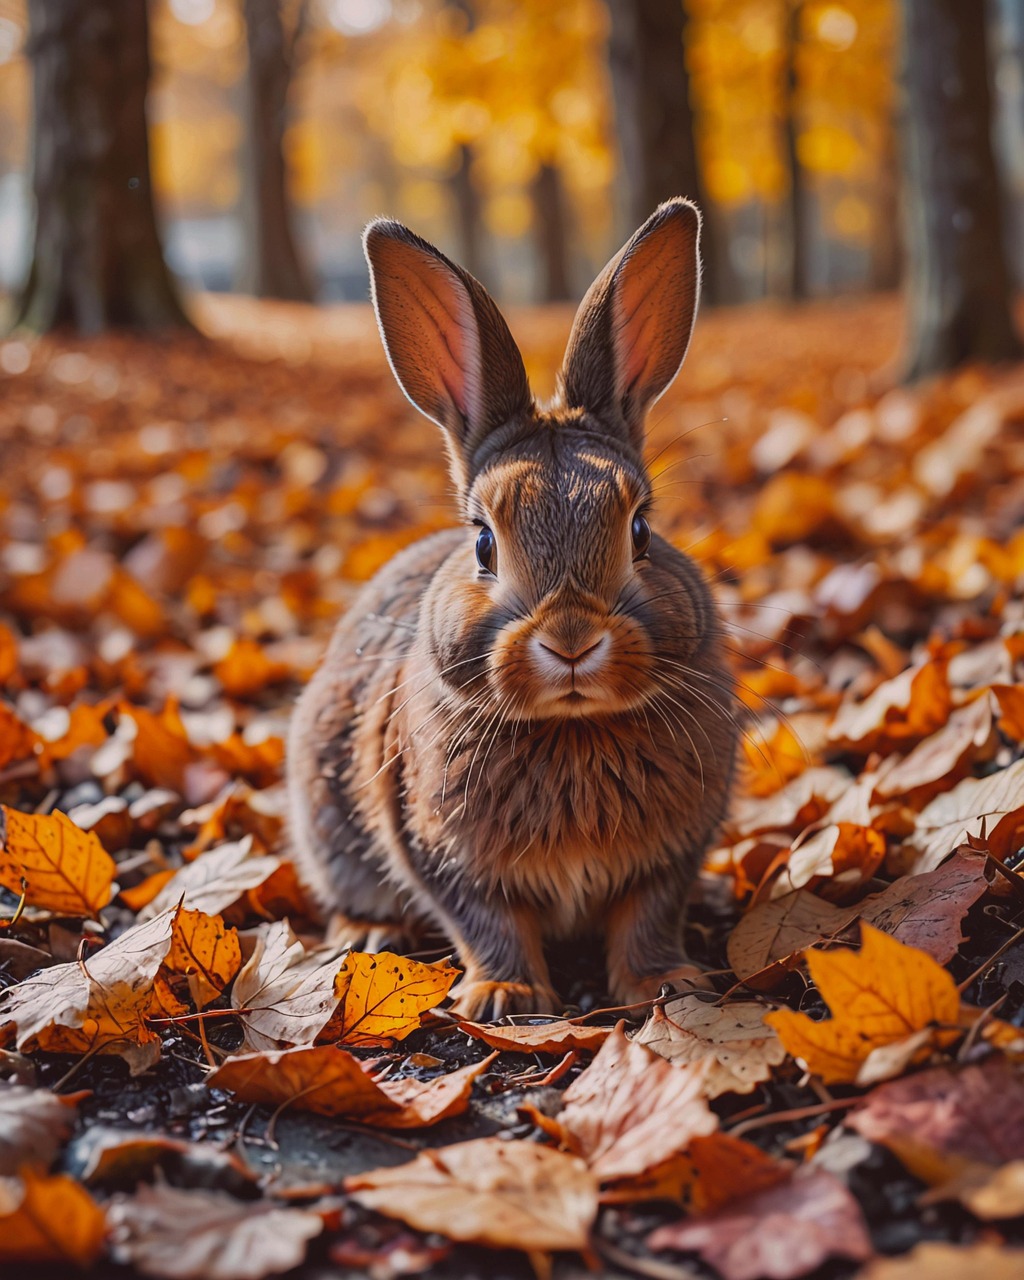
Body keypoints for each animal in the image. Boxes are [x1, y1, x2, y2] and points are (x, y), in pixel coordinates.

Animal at [287, 197, 738, 1020]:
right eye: (483, 543)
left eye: (641, 530)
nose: (571, 641)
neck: (572, 728)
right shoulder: (437, 849)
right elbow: (485, 921)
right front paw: (504, 996)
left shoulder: (673, 855)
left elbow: (648, 918)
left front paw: (667, 983)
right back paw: (366, 933)